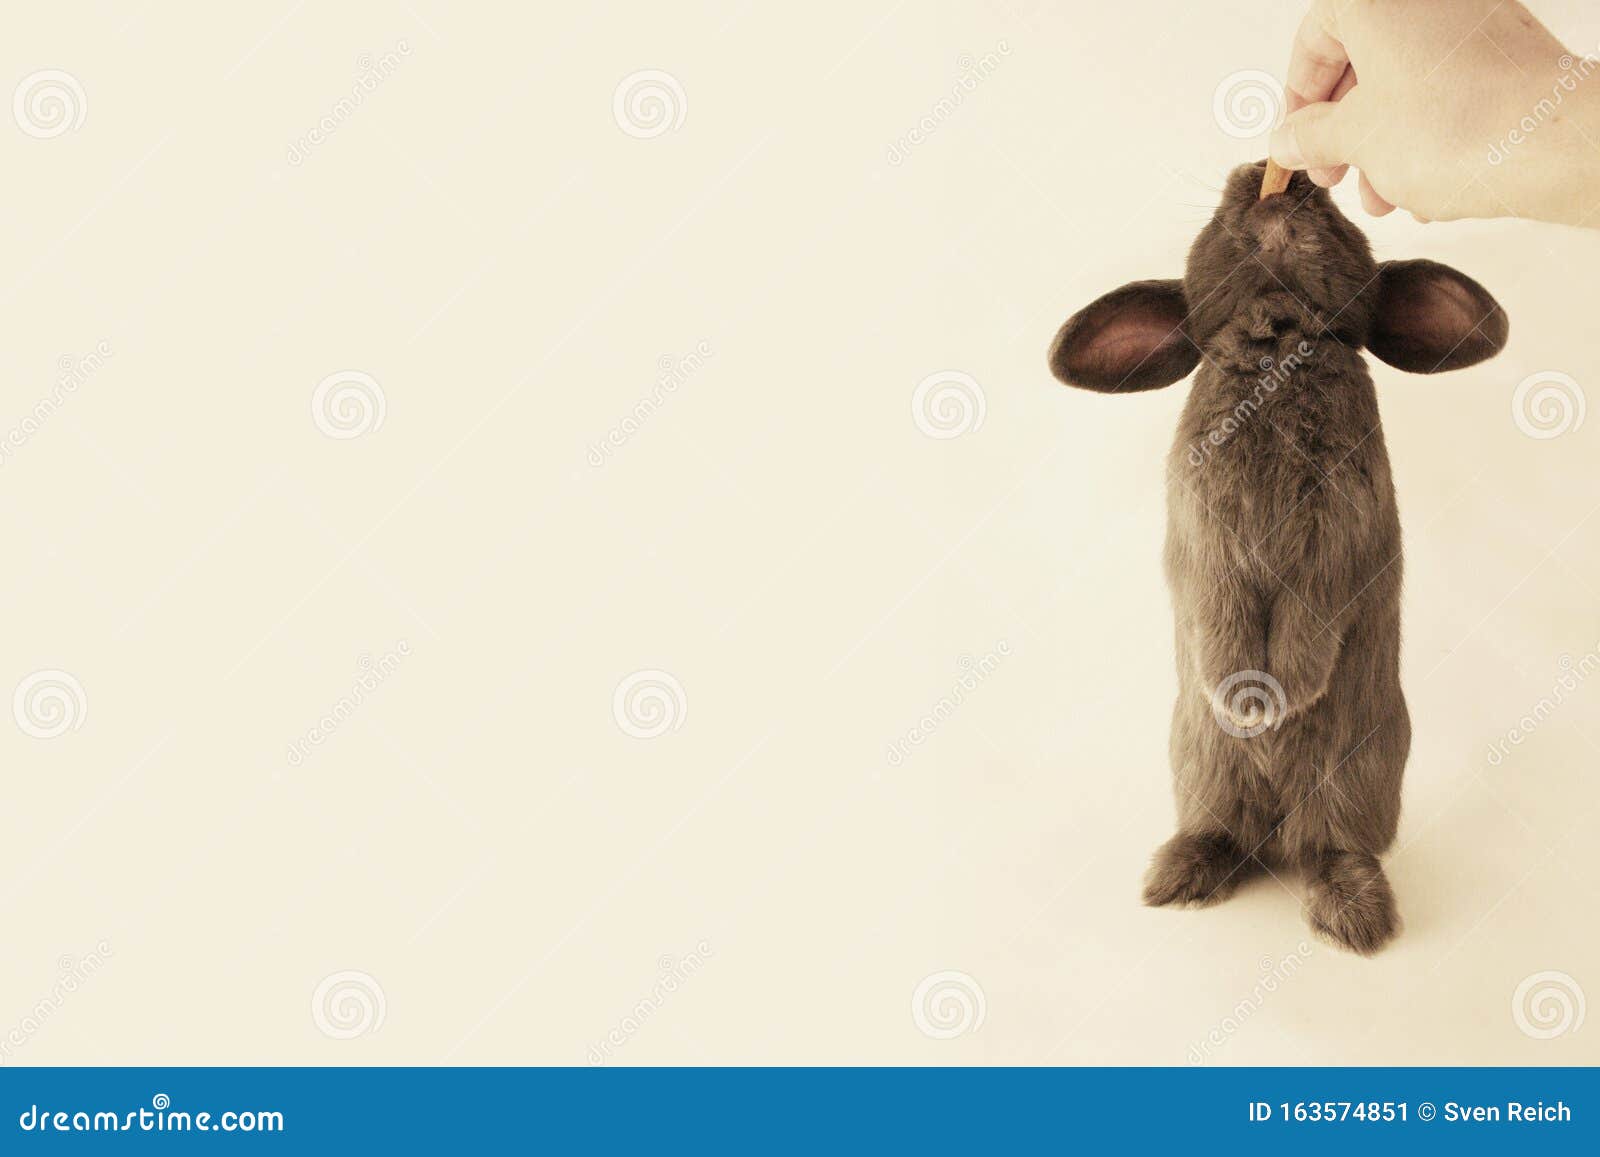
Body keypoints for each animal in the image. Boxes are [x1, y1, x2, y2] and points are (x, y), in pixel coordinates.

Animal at [1047, 161, 1508, 955]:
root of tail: (1276, 827)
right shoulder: (1204, 541)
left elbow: (1310, 612)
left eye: (1343, 217)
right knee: (1223, 833)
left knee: (1334, 847)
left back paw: (1355, 917)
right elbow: (1221, 605)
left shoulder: (1340, 537)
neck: (1276, 350)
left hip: (1358, 783)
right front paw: (1248, 700)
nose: (1273, 183)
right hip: (1203, 774)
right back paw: (1178, 878)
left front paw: (1279, 694)